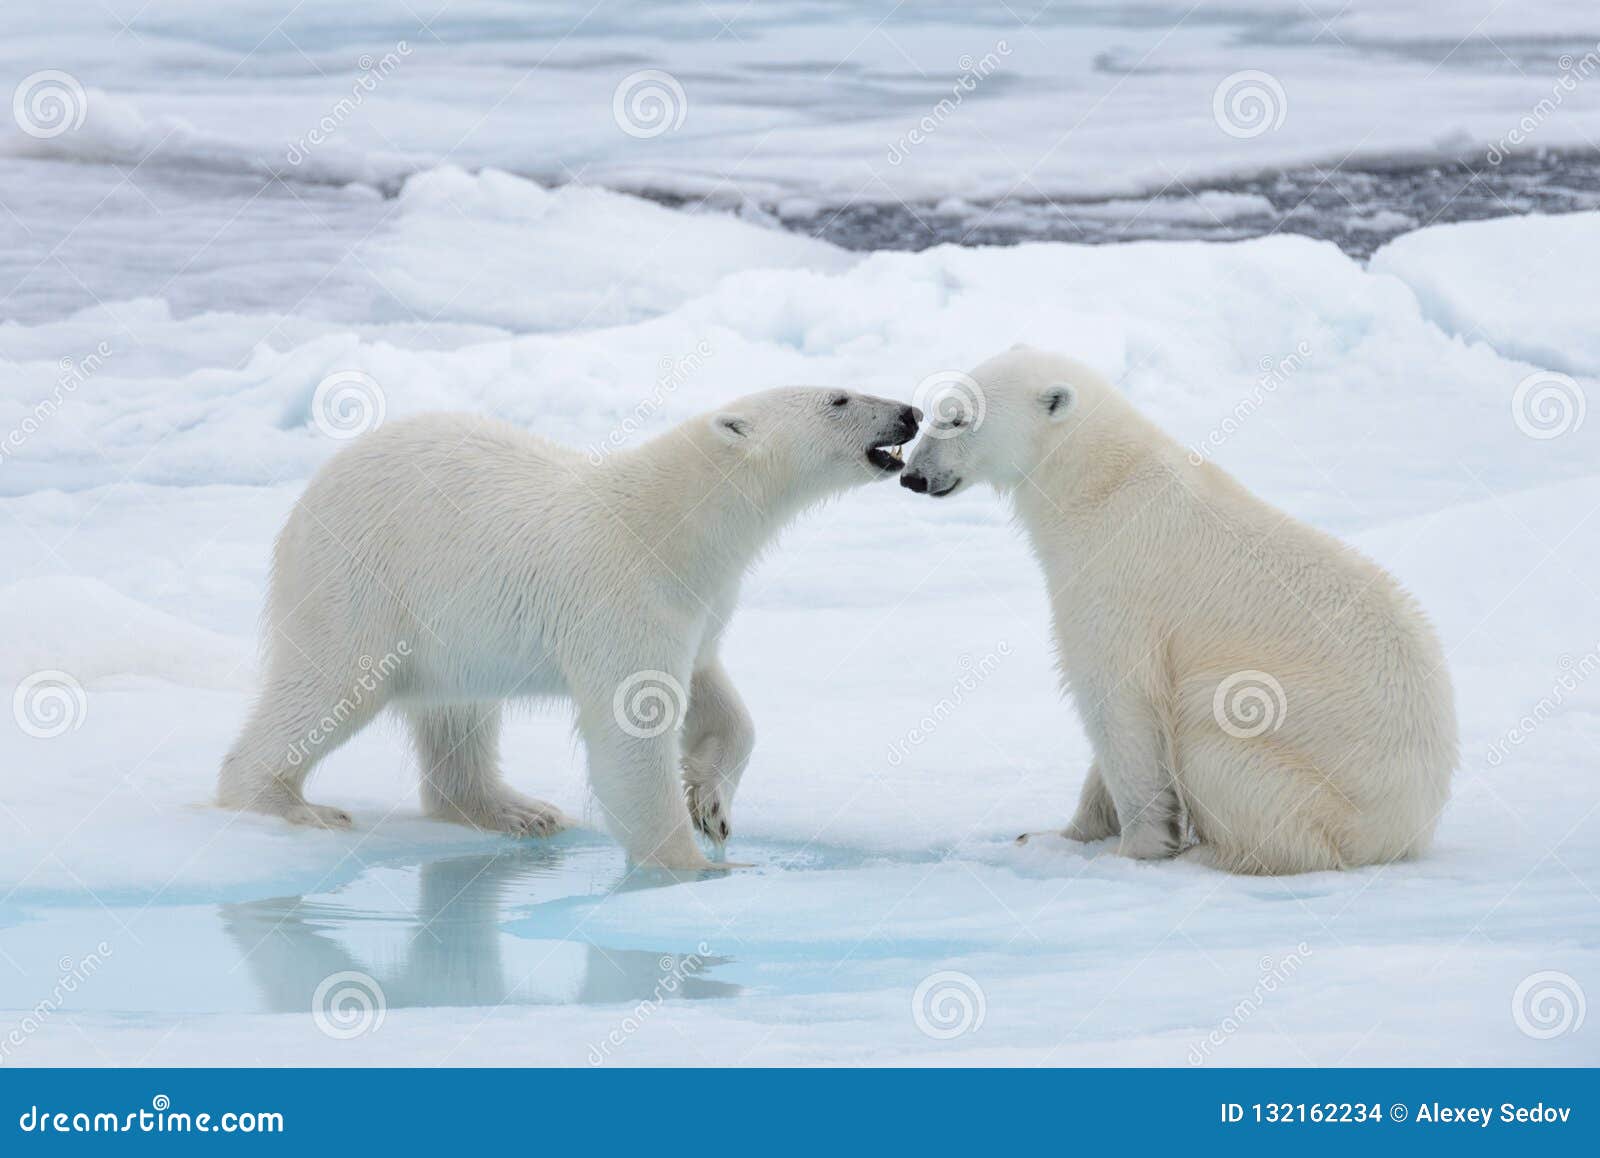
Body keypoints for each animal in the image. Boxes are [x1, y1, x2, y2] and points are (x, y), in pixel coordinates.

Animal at [218, 387, 920, 870]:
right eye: (839, 398)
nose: (910, 412)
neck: (674, 522)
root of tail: (309, 497)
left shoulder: (698, 601)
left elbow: (717, 697)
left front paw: (712, 807)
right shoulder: (624, 590)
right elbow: (633, 727)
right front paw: (687, 865)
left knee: (459, 711)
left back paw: (516, 810)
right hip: (364, 583)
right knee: (331, 686)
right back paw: (287, 803)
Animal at [900, 345, 1456, 874]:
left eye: (958, 419)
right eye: (936, 410)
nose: (913, 476)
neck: (1097, 483)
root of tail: (1409, 827)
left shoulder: (1118, 581)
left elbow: (1120, 701)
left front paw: (1134, 849)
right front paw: (1055, 835)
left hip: (1313, 780)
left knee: (1217, 736)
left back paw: (1211, 854)